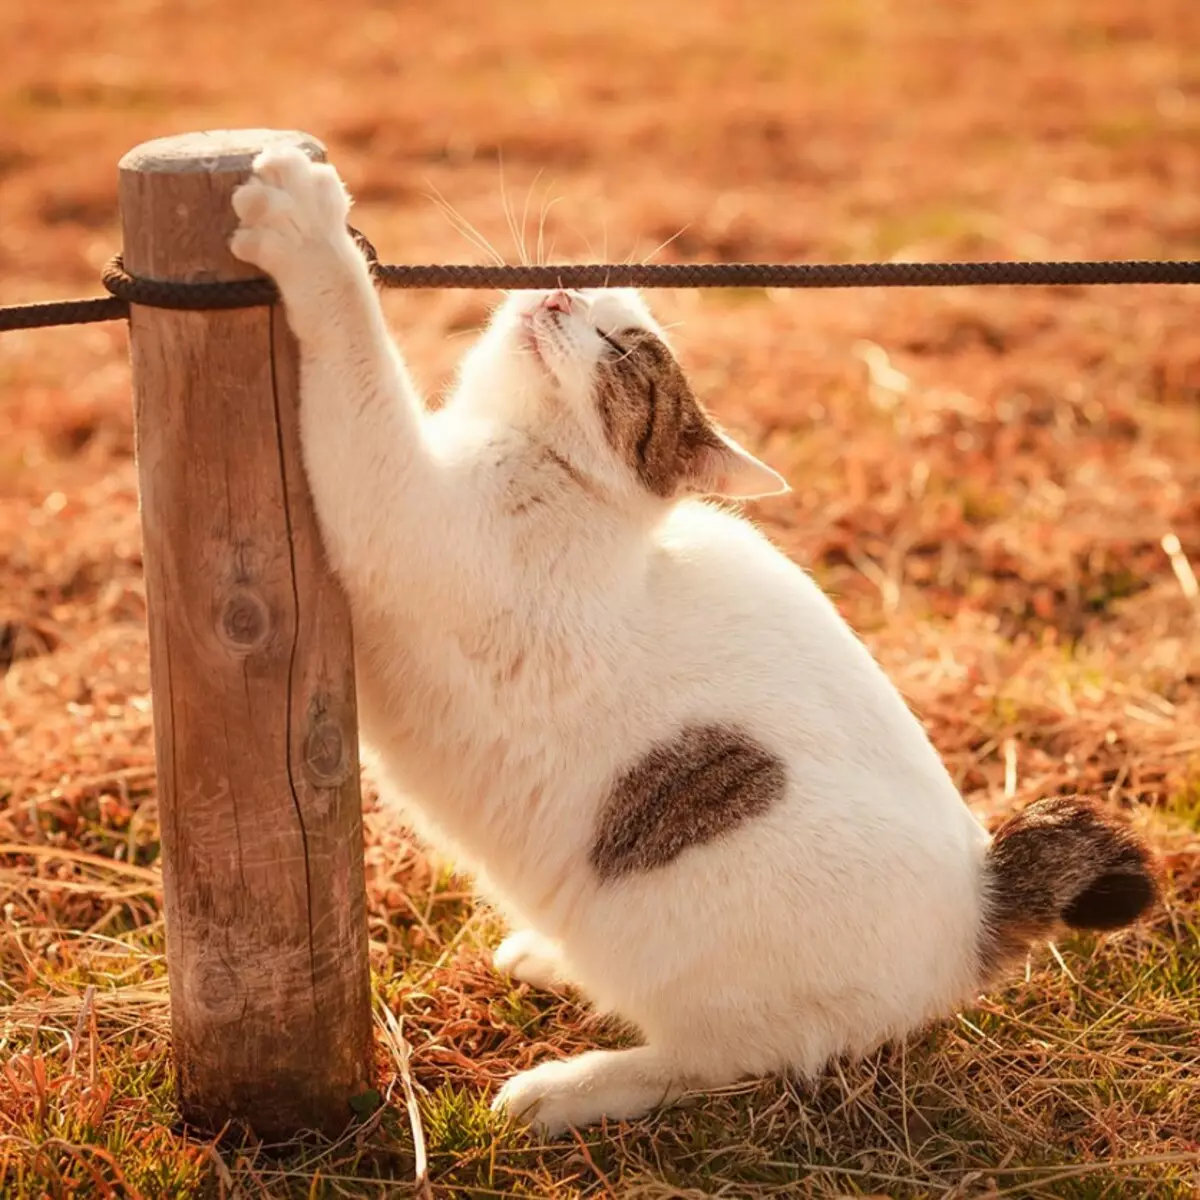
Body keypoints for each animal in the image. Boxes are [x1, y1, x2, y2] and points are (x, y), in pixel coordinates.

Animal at [229, 147, 1156, 1132]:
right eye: (584, 293)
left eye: (623, 351)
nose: (557, 295)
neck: (564, 486)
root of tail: (981, 901)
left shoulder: (393, 501)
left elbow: (357, 350)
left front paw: (311, 228)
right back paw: (551, 959)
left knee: (717, 1063)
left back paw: (566, 1088)